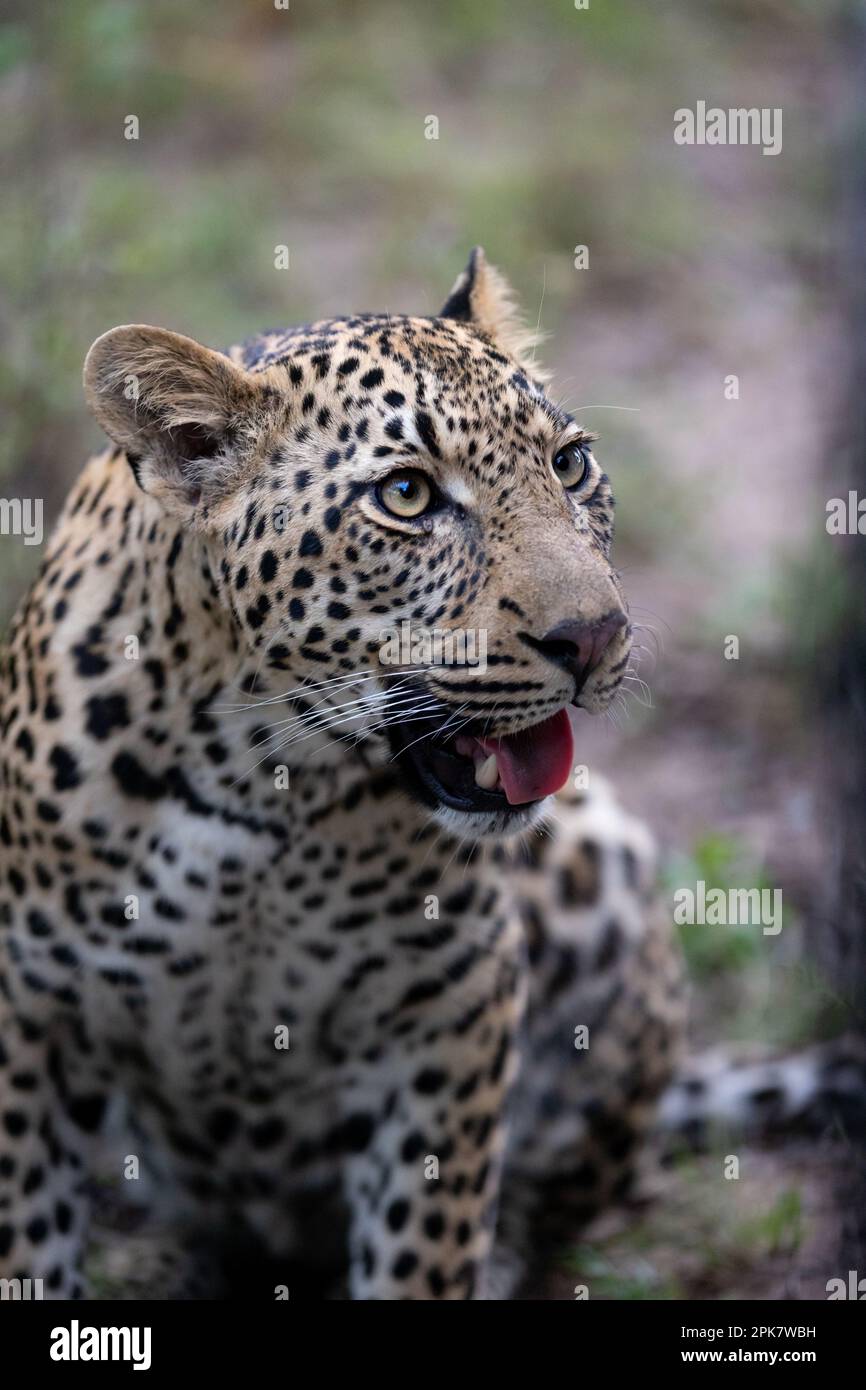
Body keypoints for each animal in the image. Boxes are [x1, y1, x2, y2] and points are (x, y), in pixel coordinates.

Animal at [0, 248, 688, 1300]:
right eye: (406, 496)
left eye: (570, 465)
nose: (596, 636)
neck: (265, 778)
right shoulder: (32, 1012)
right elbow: (30, 1240)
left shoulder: (453, 1007)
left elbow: (426, 1248)